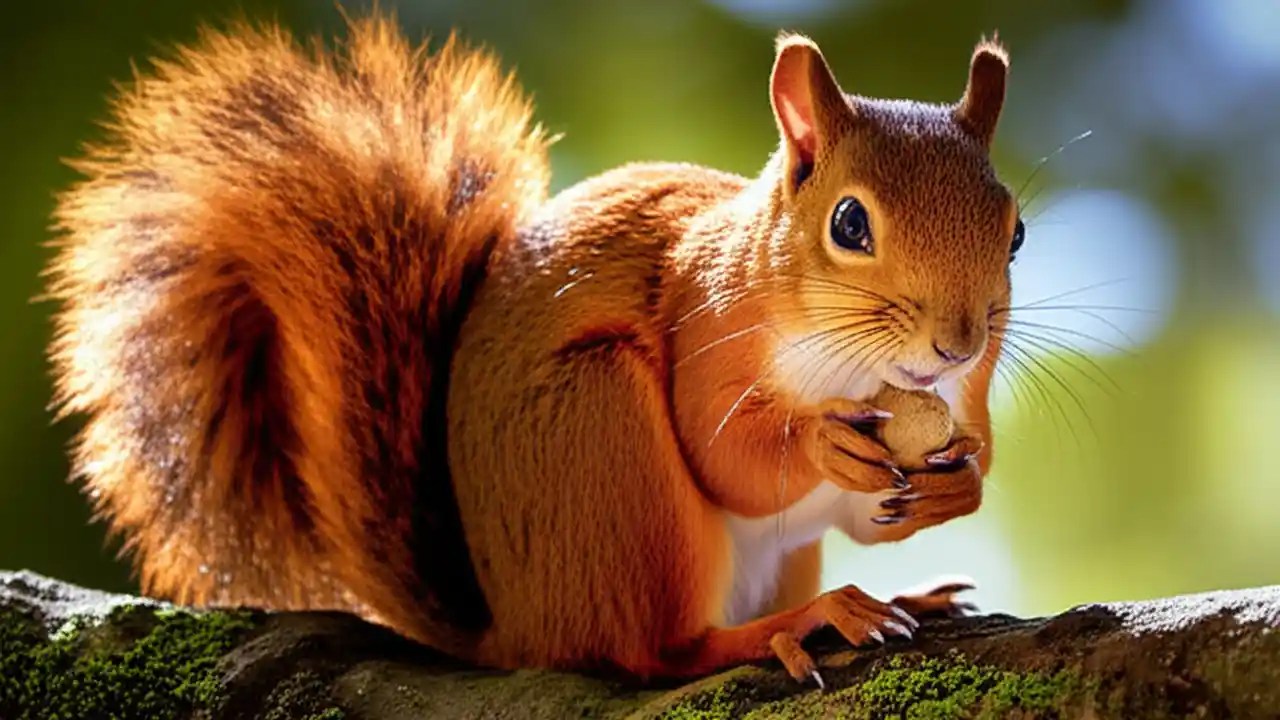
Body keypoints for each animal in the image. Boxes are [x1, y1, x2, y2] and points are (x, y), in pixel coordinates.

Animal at [46, 14, 1018, 683]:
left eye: (1012, 231)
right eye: (849, 224)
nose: (956, 343)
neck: (861, 373)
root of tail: (514, 628)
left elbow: (888, 500)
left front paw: (962, 481)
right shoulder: (706, 328)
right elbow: (725, 456)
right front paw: (820, 442)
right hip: (606, 440)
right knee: (652, 651)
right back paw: (786, 627)